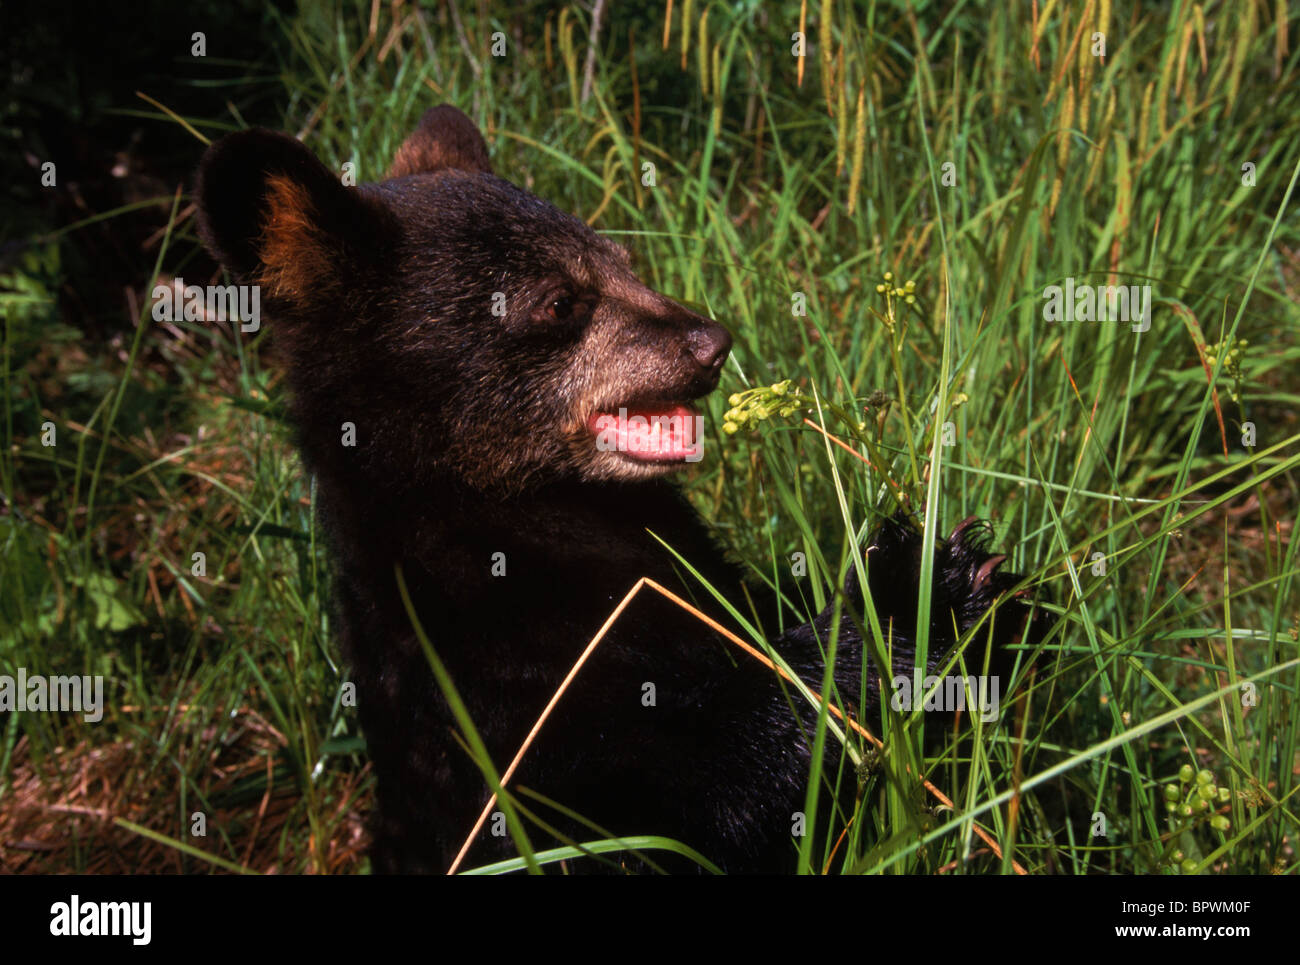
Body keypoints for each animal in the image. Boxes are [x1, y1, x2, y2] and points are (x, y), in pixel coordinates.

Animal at [193, 105, 1040, 874]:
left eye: (623, 258)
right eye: (560, 299)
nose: (712, 342)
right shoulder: (507, 706)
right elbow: (711, 787)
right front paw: (916, 589)